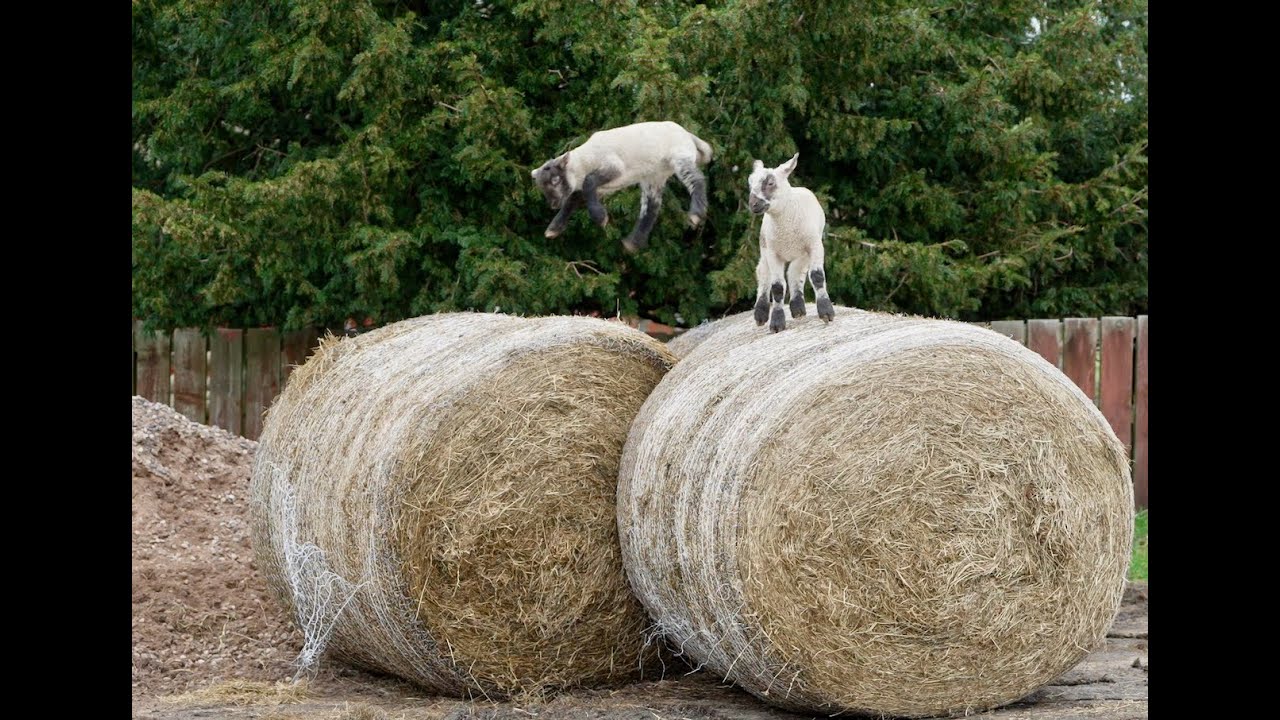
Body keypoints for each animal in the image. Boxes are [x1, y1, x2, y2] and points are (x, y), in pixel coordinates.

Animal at [531, 121, 712, 253]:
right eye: (541, 186)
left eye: (555, 180)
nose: (553, 204)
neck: (583, 162)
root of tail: (688, 135)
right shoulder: (600, 188)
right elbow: (572, 200)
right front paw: (554, 229)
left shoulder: (613, 167)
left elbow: (588, 182)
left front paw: (600, 218)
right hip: (654, 176)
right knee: (651, 208)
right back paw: (633, 242)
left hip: (680, 157)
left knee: (698, 180)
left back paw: (696, 214)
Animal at [746, 152, 835, 333]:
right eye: (750, 184)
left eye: (770, 183)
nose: (753, 204)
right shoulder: (773, 253)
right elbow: (777, 287)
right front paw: (777, 322)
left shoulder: (814, 245)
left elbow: (817, 276)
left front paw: (826, 312)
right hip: (764, 247)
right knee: (763, 274)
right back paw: (761, 314)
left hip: (802, 253)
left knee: (795, 273)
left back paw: (798, 308)